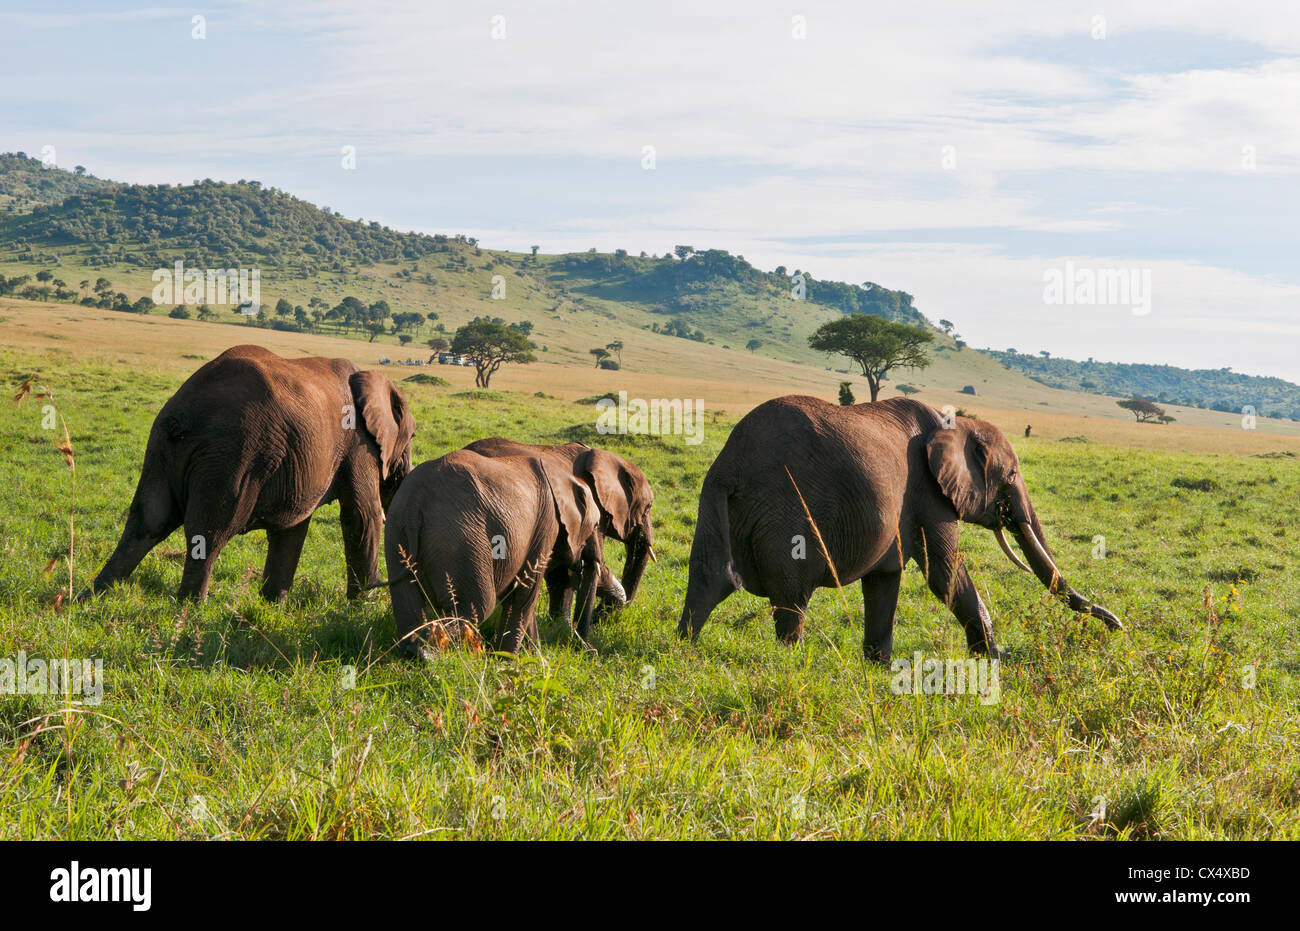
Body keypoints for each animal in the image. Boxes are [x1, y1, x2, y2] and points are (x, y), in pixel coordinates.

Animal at [86, 345, 416, 602]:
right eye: (412, 437)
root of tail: (185, 412)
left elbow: (293, 527)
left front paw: (273, 605)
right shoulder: (358, 443)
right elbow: (362, 515)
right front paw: (361, 606)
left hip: (162, 447)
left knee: (147, 520)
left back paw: (93, 596)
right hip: (233, 455)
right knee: (211, 531)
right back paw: (189, 609)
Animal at [384, 450, 614, 654]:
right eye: (596, 526)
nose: (590, 651)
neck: (563, 475)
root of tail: (416, 501)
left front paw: (533, 657)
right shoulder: (546, 525)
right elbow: (523, 594)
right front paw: (508, 659)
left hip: (397, 529)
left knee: (406, 600)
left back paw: (411, 651)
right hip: (461, 537)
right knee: (476, 606)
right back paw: (427, 653)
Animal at [678, 396, 1120, 661]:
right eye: (1011, 475)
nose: (1116, 626)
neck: (957, 423)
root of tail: (734, 464)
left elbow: (885, 579)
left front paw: (878, 666)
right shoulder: (928, 493)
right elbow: (944, 573)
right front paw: (993, 663)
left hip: (712, 500)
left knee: (708, 578)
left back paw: (683, 651)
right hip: (785, 512)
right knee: (792, 598)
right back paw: (790, 663)